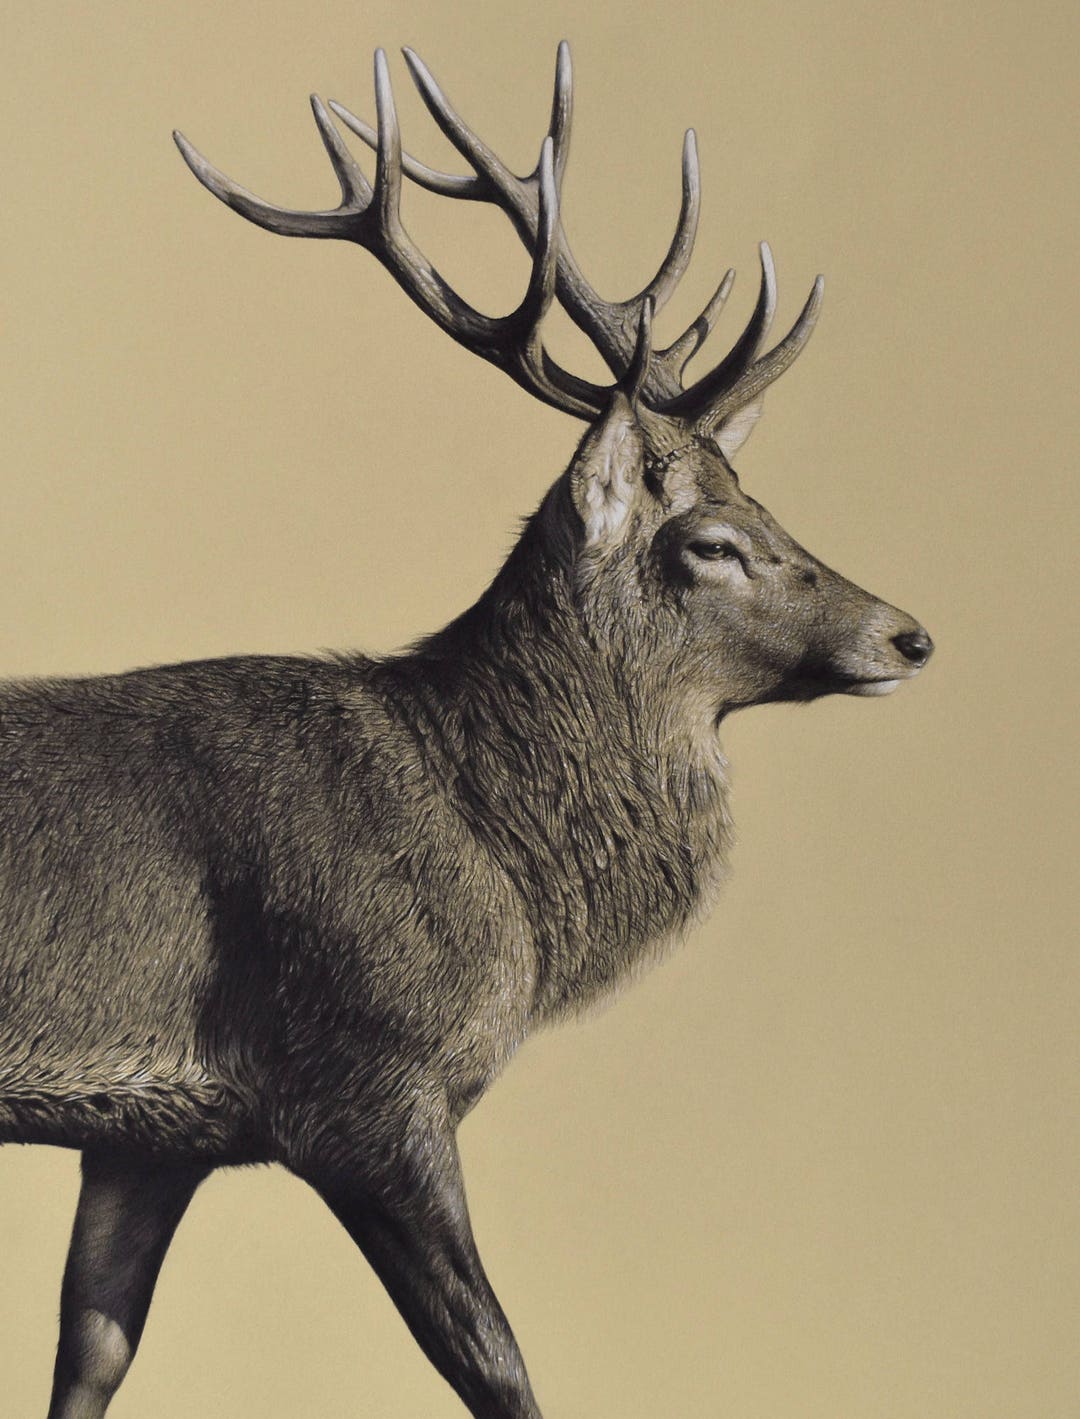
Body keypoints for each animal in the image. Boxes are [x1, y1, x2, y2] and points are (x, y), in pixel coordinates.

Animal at [0, 41, 933, 1419]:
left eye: (774, 508)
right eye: (715, 543)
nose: (910, 635)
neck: (499, 861)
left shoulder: (149, 1135)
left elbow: (91, 1355)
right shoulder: (364, 1081)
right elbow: (496, 1364)